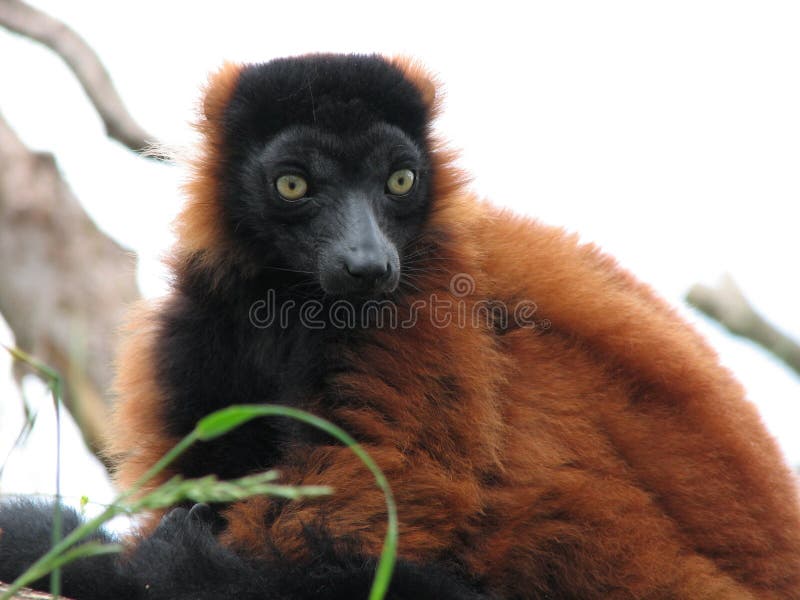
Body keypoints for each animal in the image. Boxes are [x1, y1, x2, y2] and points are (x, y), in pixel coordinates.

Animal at [1, 53, 800, 599]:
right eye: (294, 184)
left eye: (399, 181)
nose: (366, 263)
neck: (291, 298)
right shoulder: (204, 317)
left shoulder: (420, 305)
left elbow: (389, 504)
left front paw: (109, 561)